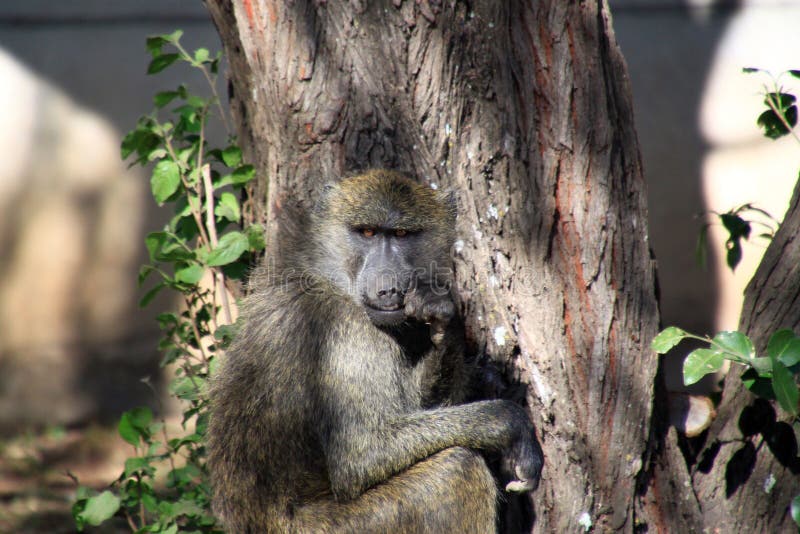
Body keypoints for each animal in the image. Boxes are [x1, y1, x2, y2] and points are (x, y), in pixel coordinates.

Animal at [207, 169, 543, 533]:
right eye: (367, 232)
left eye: (402, 234)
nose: (387, 288)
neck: (331, 279)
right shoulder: (348, 332)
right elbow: (362, 455)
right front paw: (509, 423)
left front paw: (443, 319)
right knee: (456, 469)